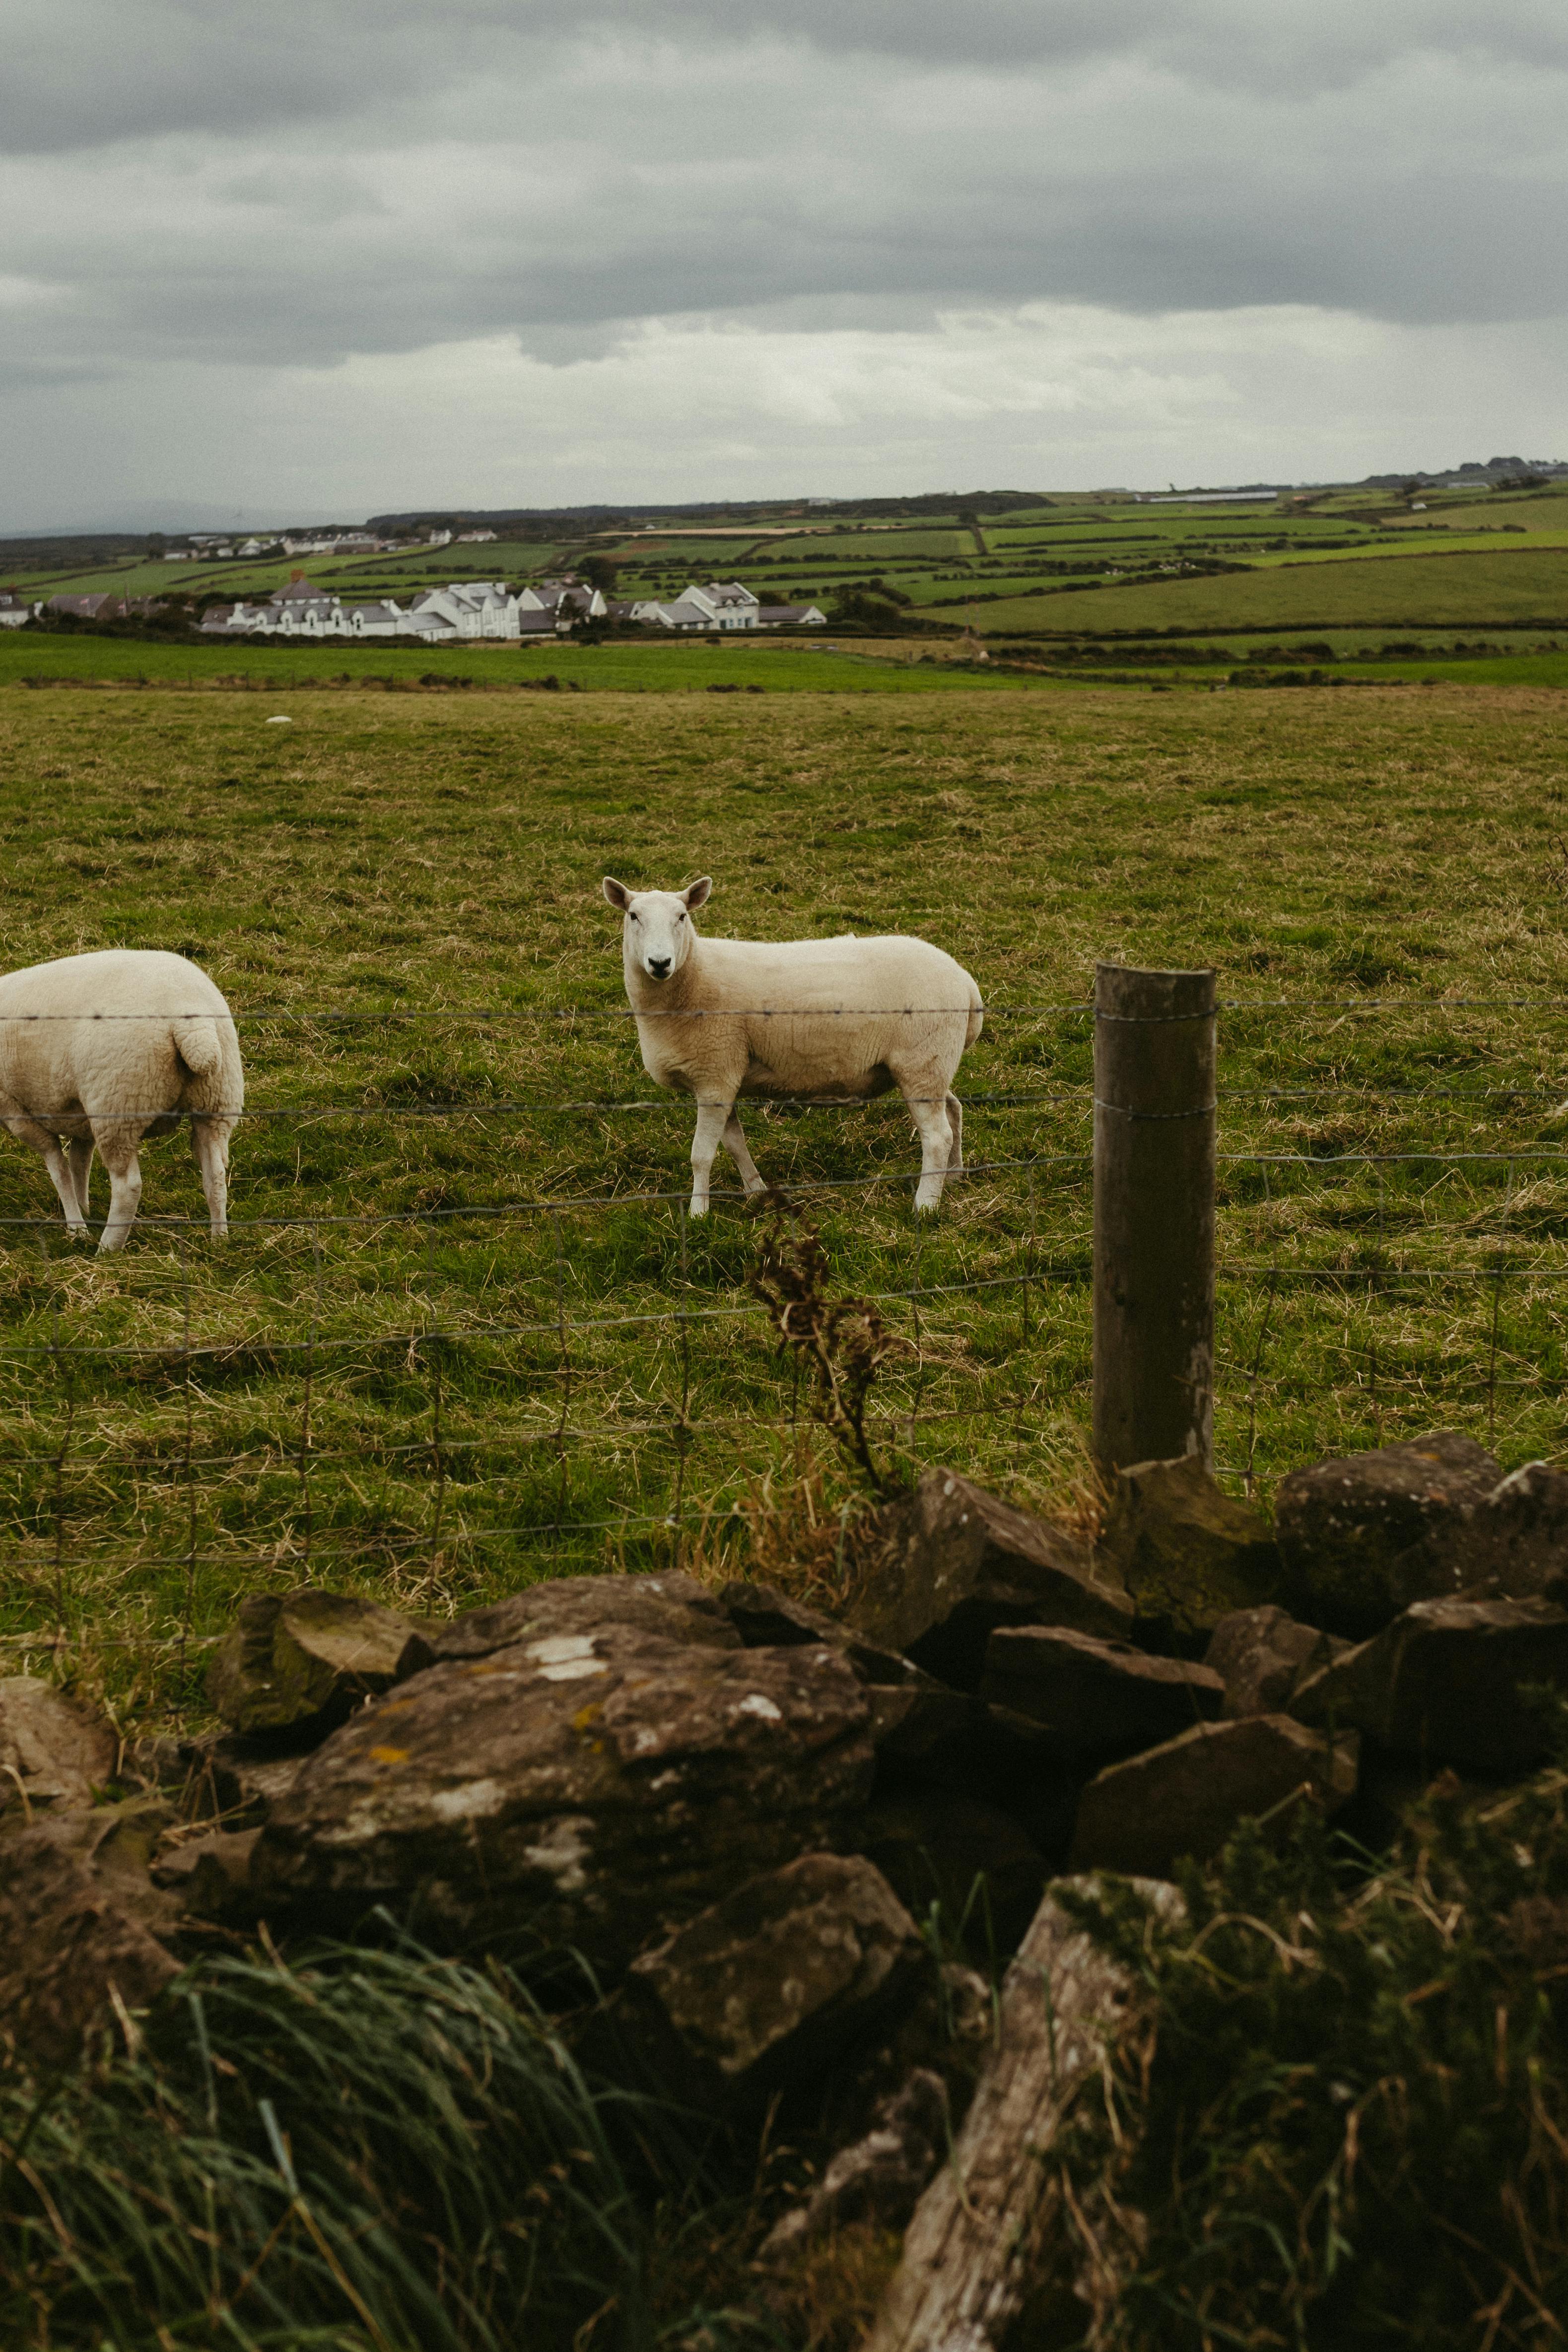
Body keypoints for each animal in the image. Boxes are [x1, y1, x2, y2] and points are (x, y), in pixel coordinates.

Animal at [0, 949, 243, 1251]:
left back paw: (107, 1248)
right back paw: (218, 1240)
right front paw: (84, 1210)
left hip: (118, 1105)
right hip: (217, 1098)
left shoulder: (13, 1108)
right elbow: (79, 1162)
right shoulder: (81, 1115)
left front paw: (77, 1228)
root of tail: (194, 1025)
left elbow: (59, 1168)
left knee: (128, 1186)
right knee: (216, 1174)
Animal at [602, 876, 983, 1216]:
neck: (693, 976)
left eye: (682, 916)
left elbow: (702, 1154)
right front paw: (756, 1192)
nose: (660, 963)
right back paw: (953, 1177)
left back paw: (926, 1205)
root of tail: (965, 982)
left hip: (921, 1062)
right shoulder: (725, 1075)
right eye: (633, 916)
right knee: (953, 1109)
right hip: (932, 1062)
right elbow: (735, 1144)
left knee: (937, 1136)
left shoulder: (715, 1073)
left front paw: (699, 1212)